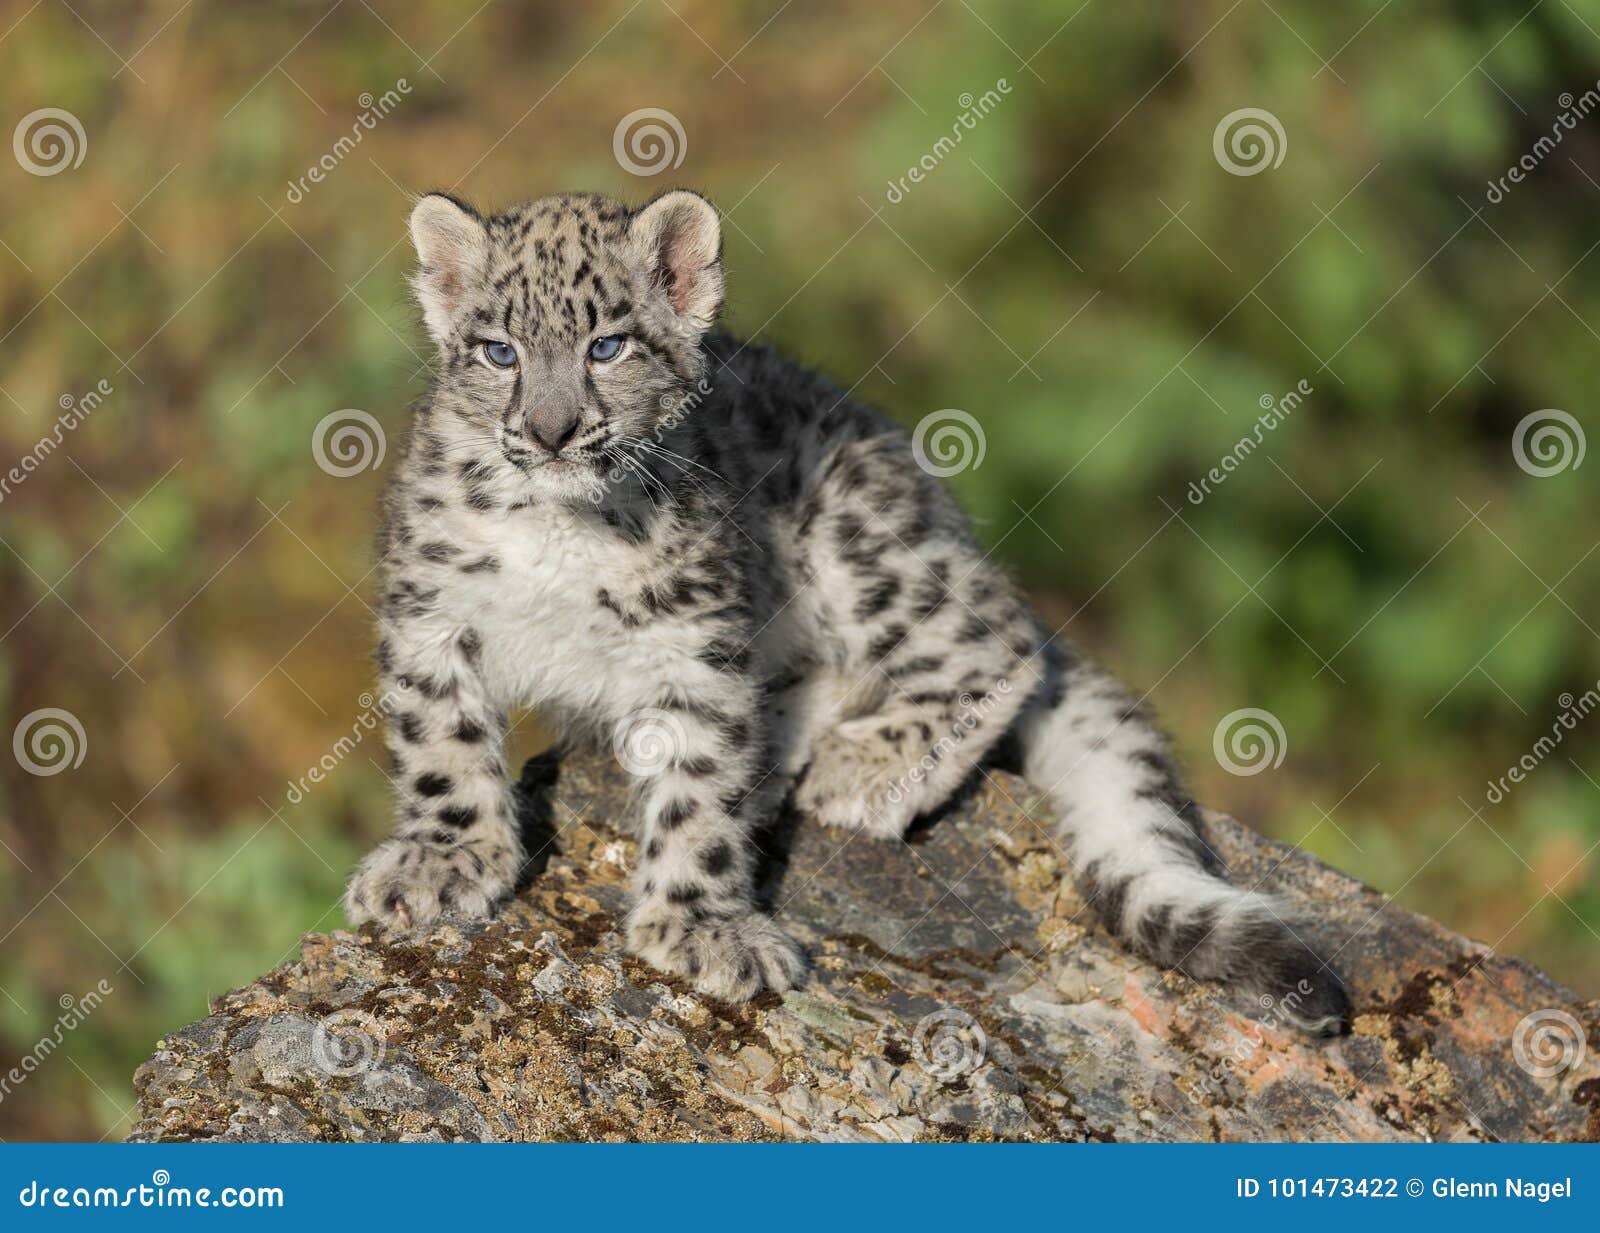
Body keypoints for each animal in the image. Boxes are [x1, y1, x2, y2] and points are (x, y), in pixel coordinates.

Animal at [342, 187, 1352, 1034]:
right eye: (499, 350)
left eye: (607, 346)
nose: (550, 432)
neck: (562, 526)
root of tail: (940, 517)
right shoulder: (431, 612)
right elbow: (442, 746)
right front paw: (440, 864)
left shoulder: (693, 641)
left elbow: (699, 787)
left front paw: (704, 926)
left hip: (864, 547)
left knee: (999, 641)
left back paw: (860, 770)